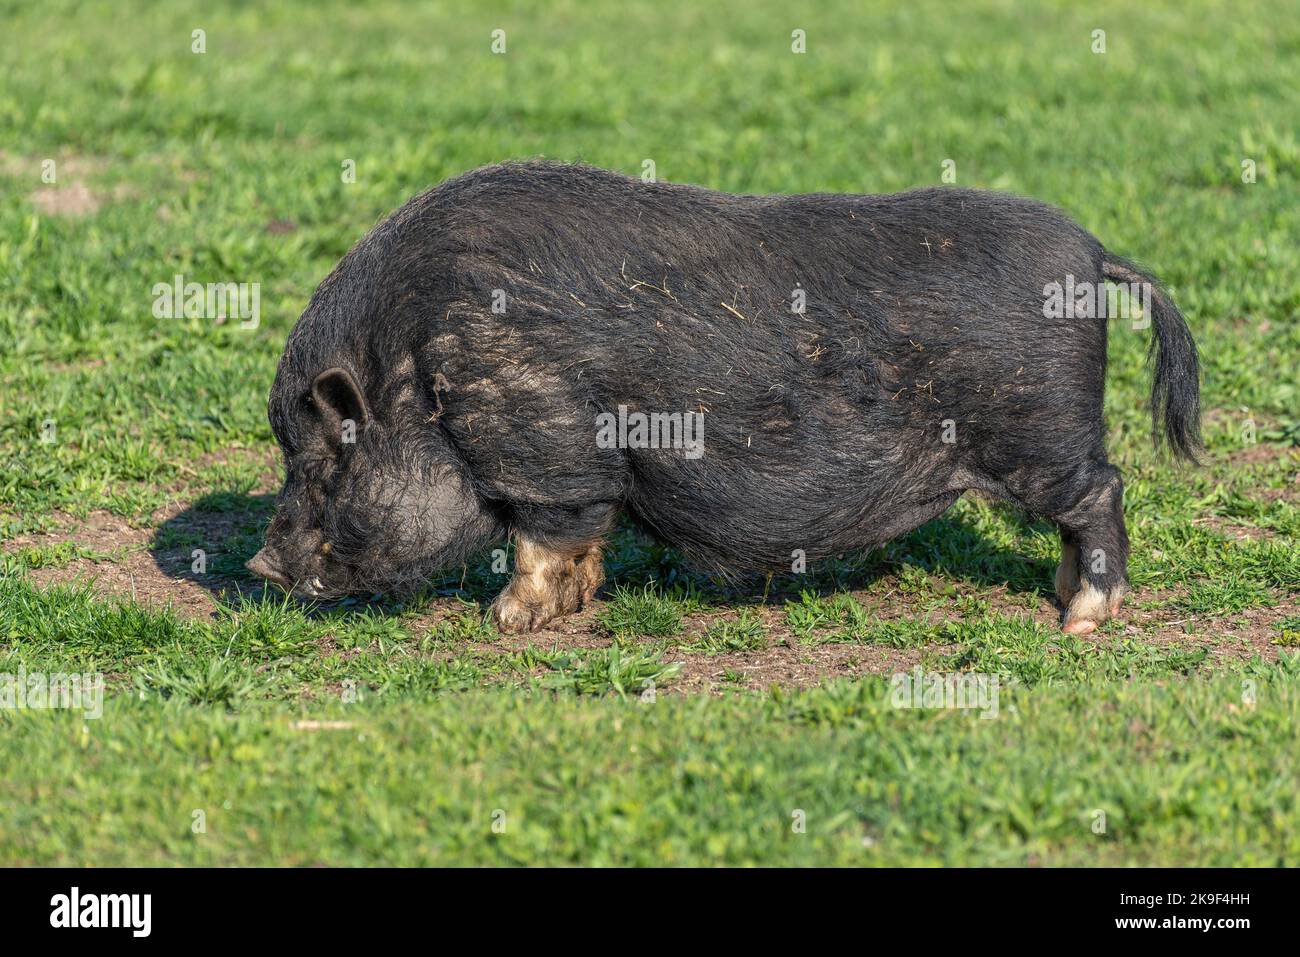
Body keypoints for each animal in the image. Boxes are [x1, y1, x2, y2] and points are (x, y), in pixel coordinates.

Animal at [246, 162, 1201, 635]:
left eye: (324, 459)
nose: (258, 565)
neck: (421, 371)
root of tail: (1094, 252)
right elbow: (580, 544)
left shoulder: (551, 456)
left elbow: (545, 538)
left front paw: (504, 620)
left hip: (1040, 431)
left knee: (1102, 491)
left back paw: (1080, 621)